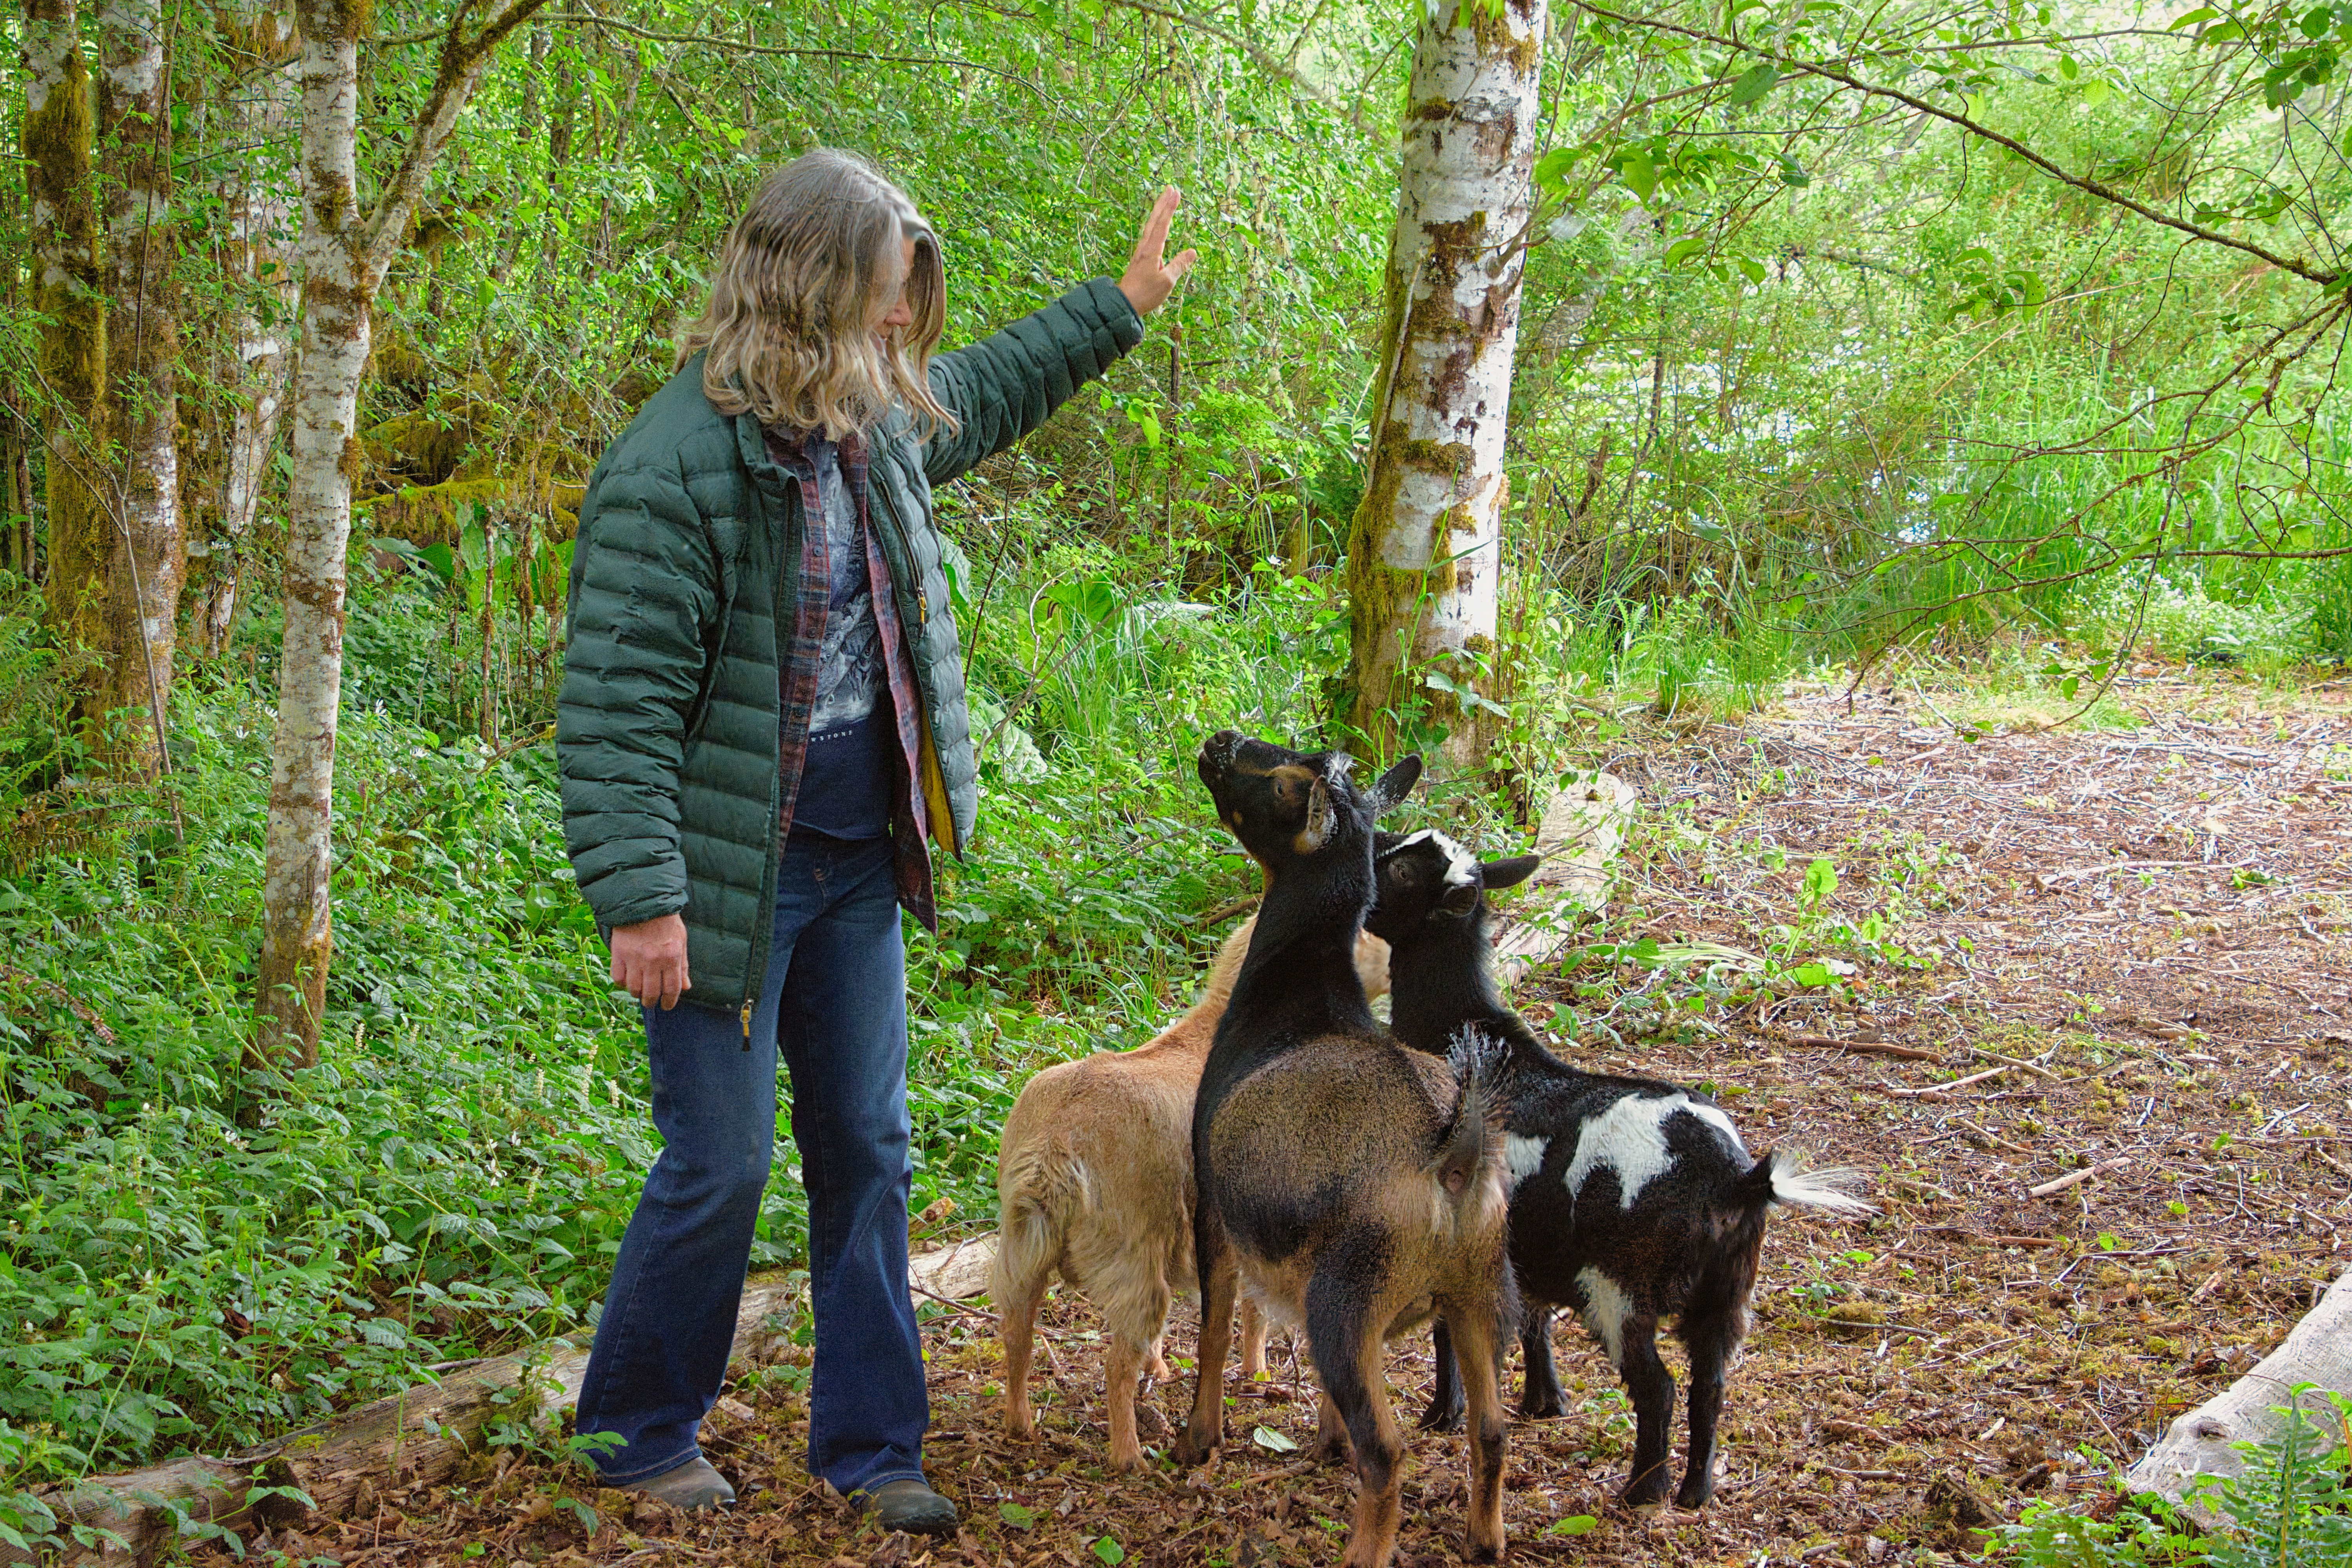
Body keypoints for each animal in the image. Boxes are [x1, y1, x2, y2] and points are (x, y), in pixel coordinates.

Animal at [993, 914, 1393, 1470]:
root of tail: (1055, 1143)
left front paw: (1232, 1370)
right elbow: (1248, 1308)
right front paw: (1256, 1372)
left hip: (1023, 1241)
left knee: (1017, 1333)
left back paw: (1020, 1423)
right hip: (1131, 1249)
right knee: (1115, 1362)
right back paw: (1129, 1456)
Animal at [1179, 733, 1514, 1568]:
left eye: (1281, 782)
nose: (1219, 743)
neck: (1293, 997)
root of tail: (1452, 1155)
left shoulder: (1211, 1203)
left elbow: (1214, 1322)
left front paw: (1199, 1439)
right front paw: (1325, 1441)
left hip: (1350, 1297)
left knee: (1389, 1450)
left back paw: (1364, 1551)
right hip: (1479, 1291)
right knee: (1493, 1428)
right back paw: (1484, 1537)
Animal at [1366, 828, 1875, 1509]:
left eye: (1400, 872)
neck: (1463, 1035)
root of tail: (1736, 1180)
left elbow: (1451, 1329)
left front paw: (1442, 1415)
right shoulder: (1525, 1243)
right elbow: (1534, 1318)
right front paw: (1545, 1402)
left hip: (1621, 1285)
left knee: (1658, 1387)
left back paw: (1642, 1489)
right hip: (1727, 1292)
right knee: (1711, 1384)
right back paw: (1694, 1491)